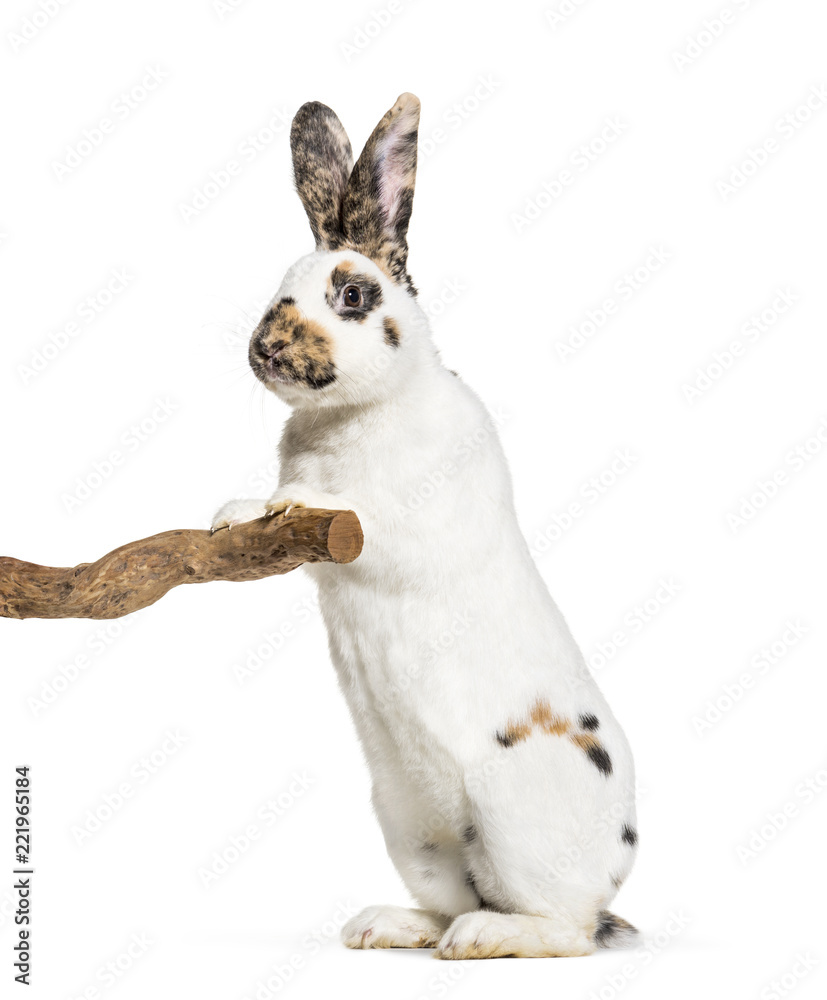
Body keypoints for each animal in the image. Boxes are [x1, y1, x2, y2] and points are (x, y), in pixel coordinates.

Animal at [212, 93, 639, 959]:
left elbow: (347, 509)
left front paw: (282, 502)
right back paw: (384, 925)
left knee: (564, 931)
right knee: (449, 896)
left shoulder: (408, 516)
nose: (265, 350)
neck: (354, 415)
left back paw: (480, 938)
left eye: (352, 295)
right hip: (410, 827)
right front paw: (236, 510)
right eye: (280, 285)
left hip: (513, 822)